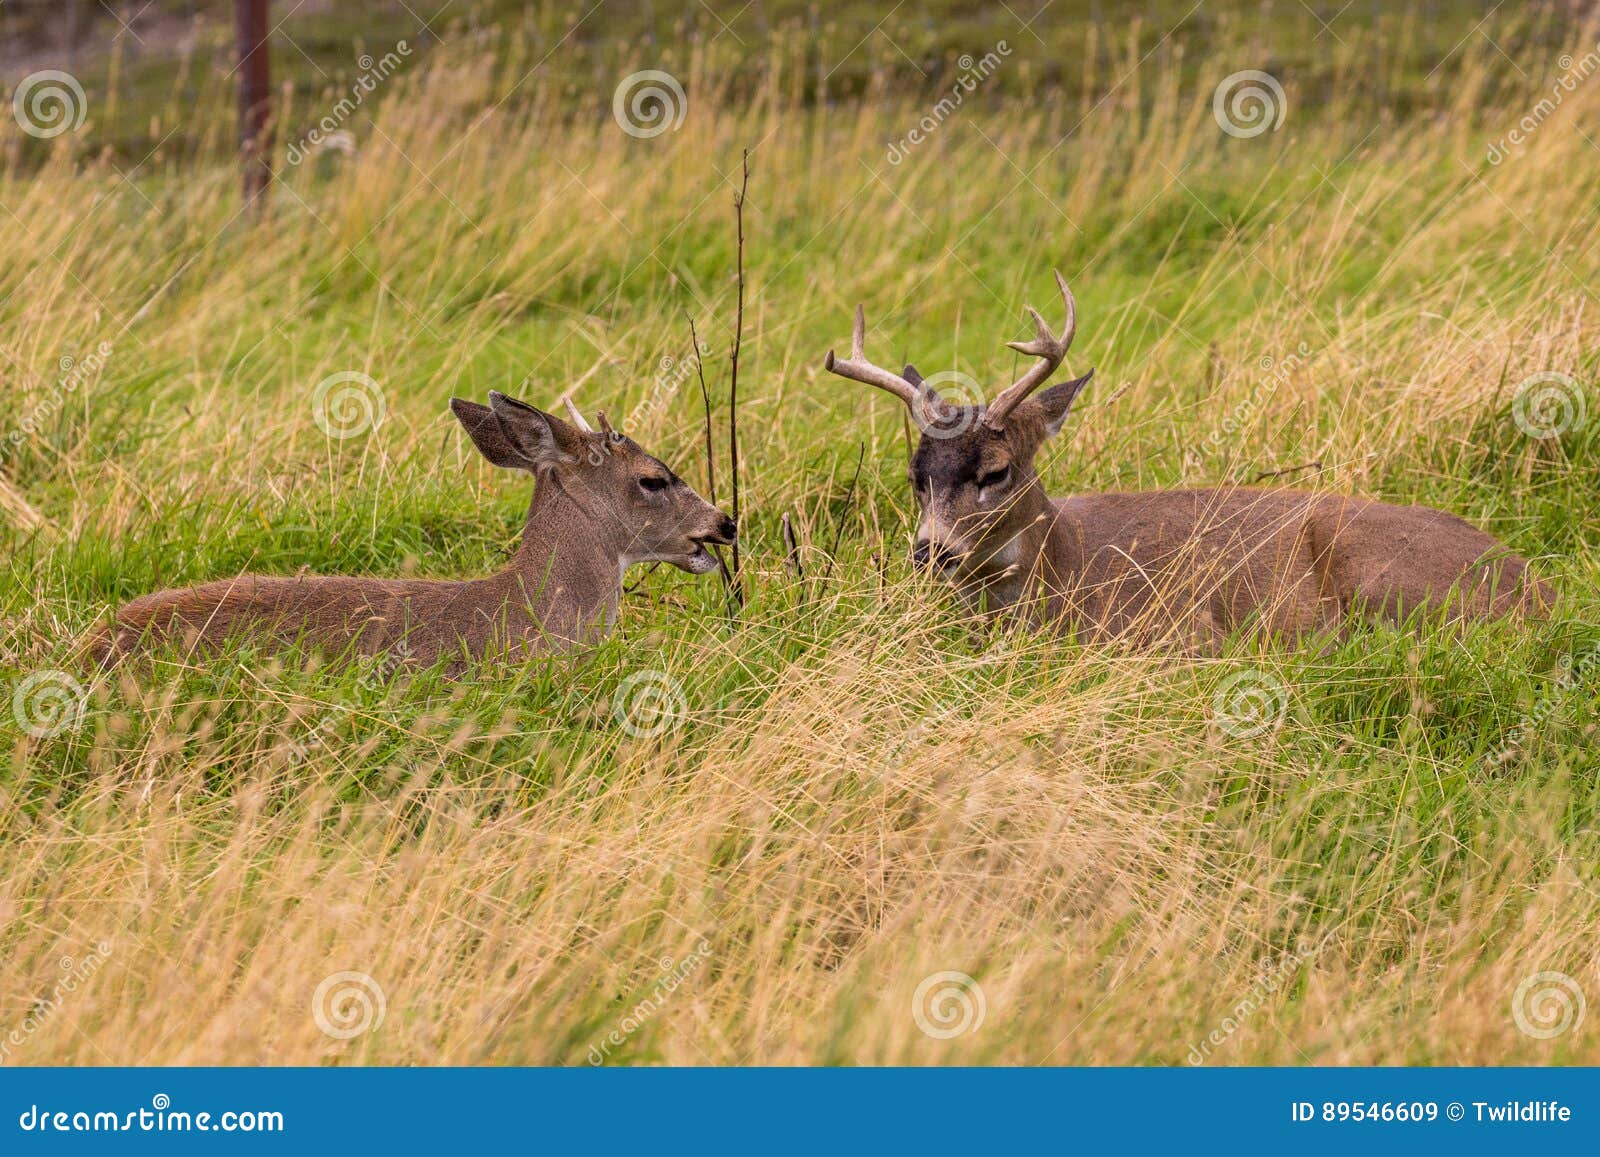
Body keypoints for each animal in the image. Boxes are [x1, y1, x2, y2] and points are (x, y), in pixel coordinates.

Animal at [823, 272, 1552, 646]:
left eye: (996, 471)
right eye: (916, 478)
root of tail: (1538, 587)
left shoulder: (1175, 629)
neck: (1063, 566)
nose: (931, 551)